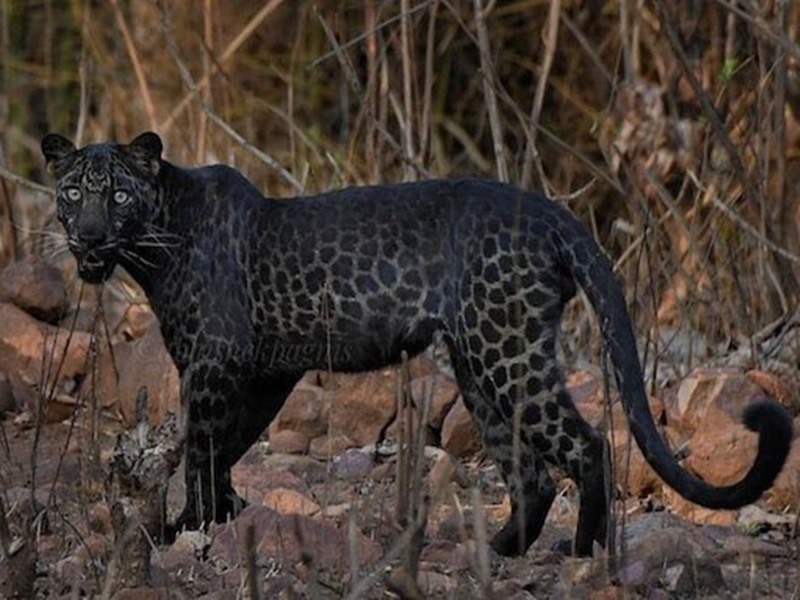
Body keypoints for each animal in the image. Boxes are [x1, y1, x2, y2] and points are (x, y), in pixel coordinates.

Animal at [41, 131, 793, 557]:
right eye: (72, 191)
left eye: (117, 195)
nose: (87, 235)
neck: (152, 243)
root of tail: (550, 210)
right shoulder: (261, 371)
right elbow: (223, 448)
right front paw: (222, 517)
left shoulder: (214, 364)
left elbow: (200, 447)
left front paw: (187, 527)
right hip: (480, 365)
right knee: (531, 472)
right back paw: (501, 552)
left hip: (506, 352)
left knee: (586, 446)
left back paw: (583, 554)